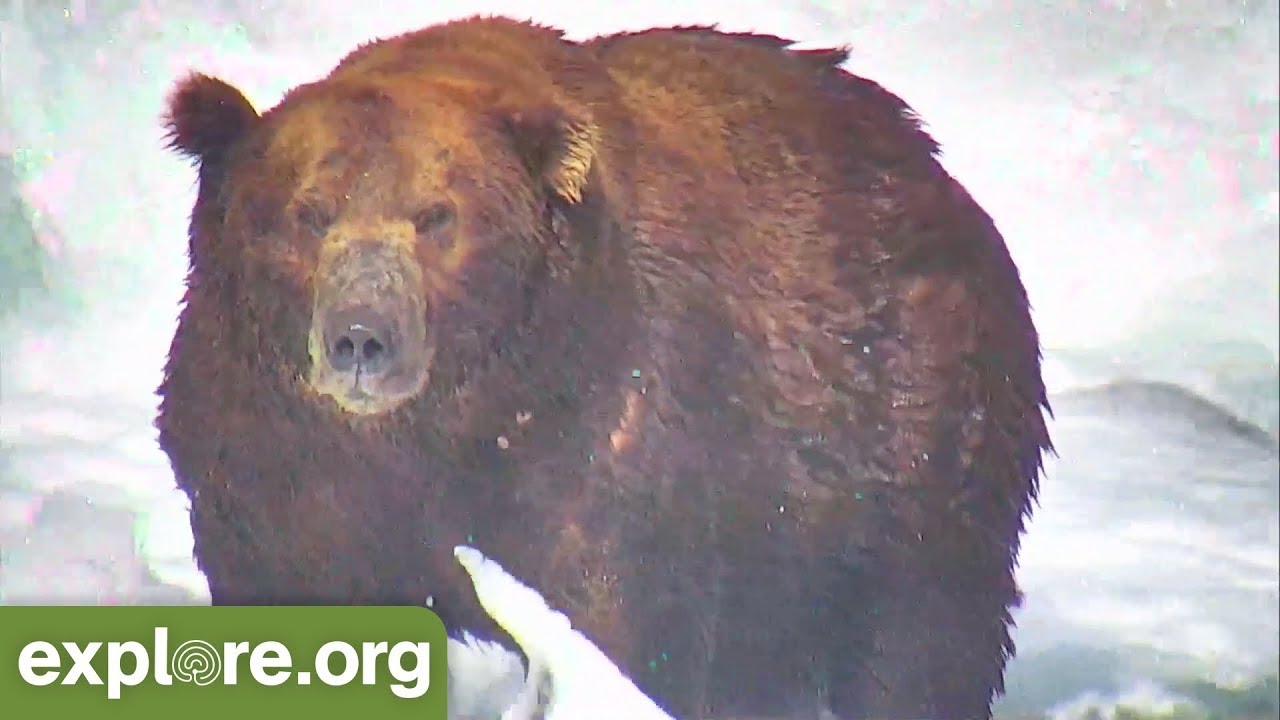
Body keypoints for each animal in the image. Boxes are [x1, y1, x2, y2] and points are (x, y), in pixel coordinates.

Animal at [155, 15, 1053, 720]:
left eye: (436, 215)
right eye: (308, 212)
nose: (362, 337)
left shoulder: (605, 440)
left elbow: (620, 624)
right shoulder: (270, 475)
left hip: (913, 445)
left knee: (921, 638)